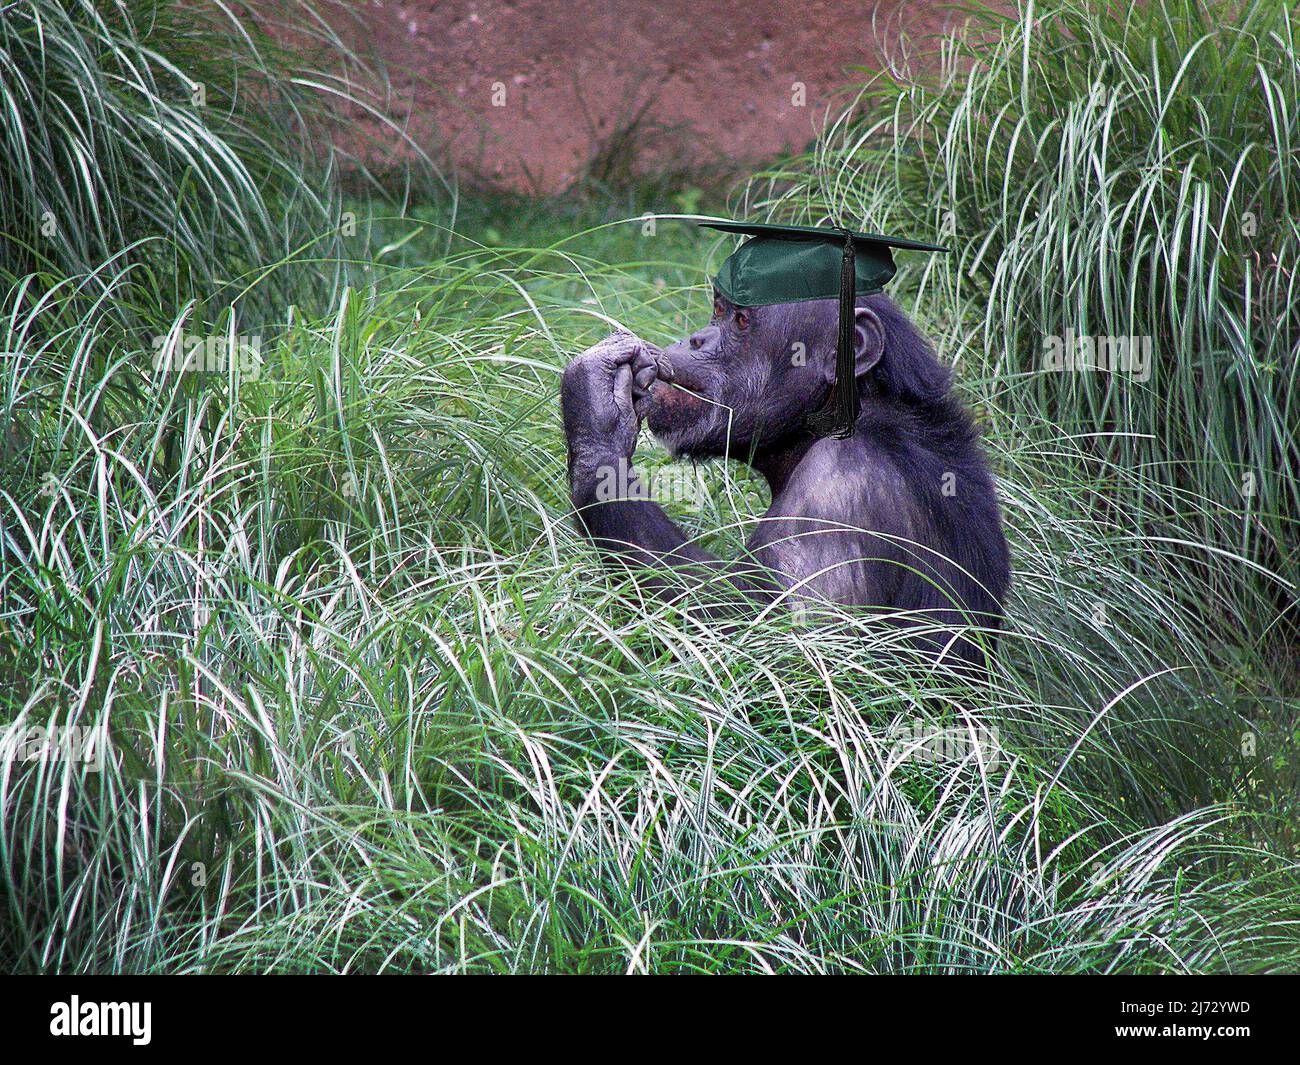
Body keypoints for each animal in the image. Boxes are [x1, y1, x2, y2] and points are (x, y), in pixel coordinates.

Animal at [560, 289, 1010, 667]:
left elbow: (788, 657)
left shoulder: (838, 494)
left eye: (741, 320)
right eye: (718, 309)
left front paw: (598, 408)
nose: (698, 339)